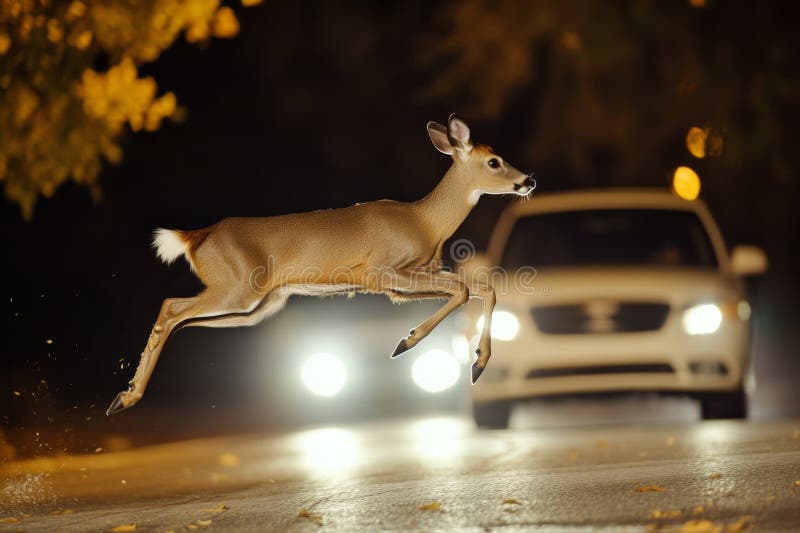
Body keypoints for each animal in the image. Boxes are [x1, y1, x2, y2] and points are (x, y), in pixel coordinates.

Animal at [106, 114, 535, 415]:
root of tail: (198, 236)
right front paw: (406, 342)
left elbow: (482, 289)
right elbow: (462, 290)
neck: (424, 222)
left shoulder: (405, 281)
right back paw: (126, 398)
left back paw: (122, 397)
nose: (528, 180)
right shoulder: (379, 272)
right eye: (494, 161)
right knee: (170, 307)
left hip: (256, 305)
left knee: (181, 320)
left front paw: (477, 364)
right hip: (236, 288)